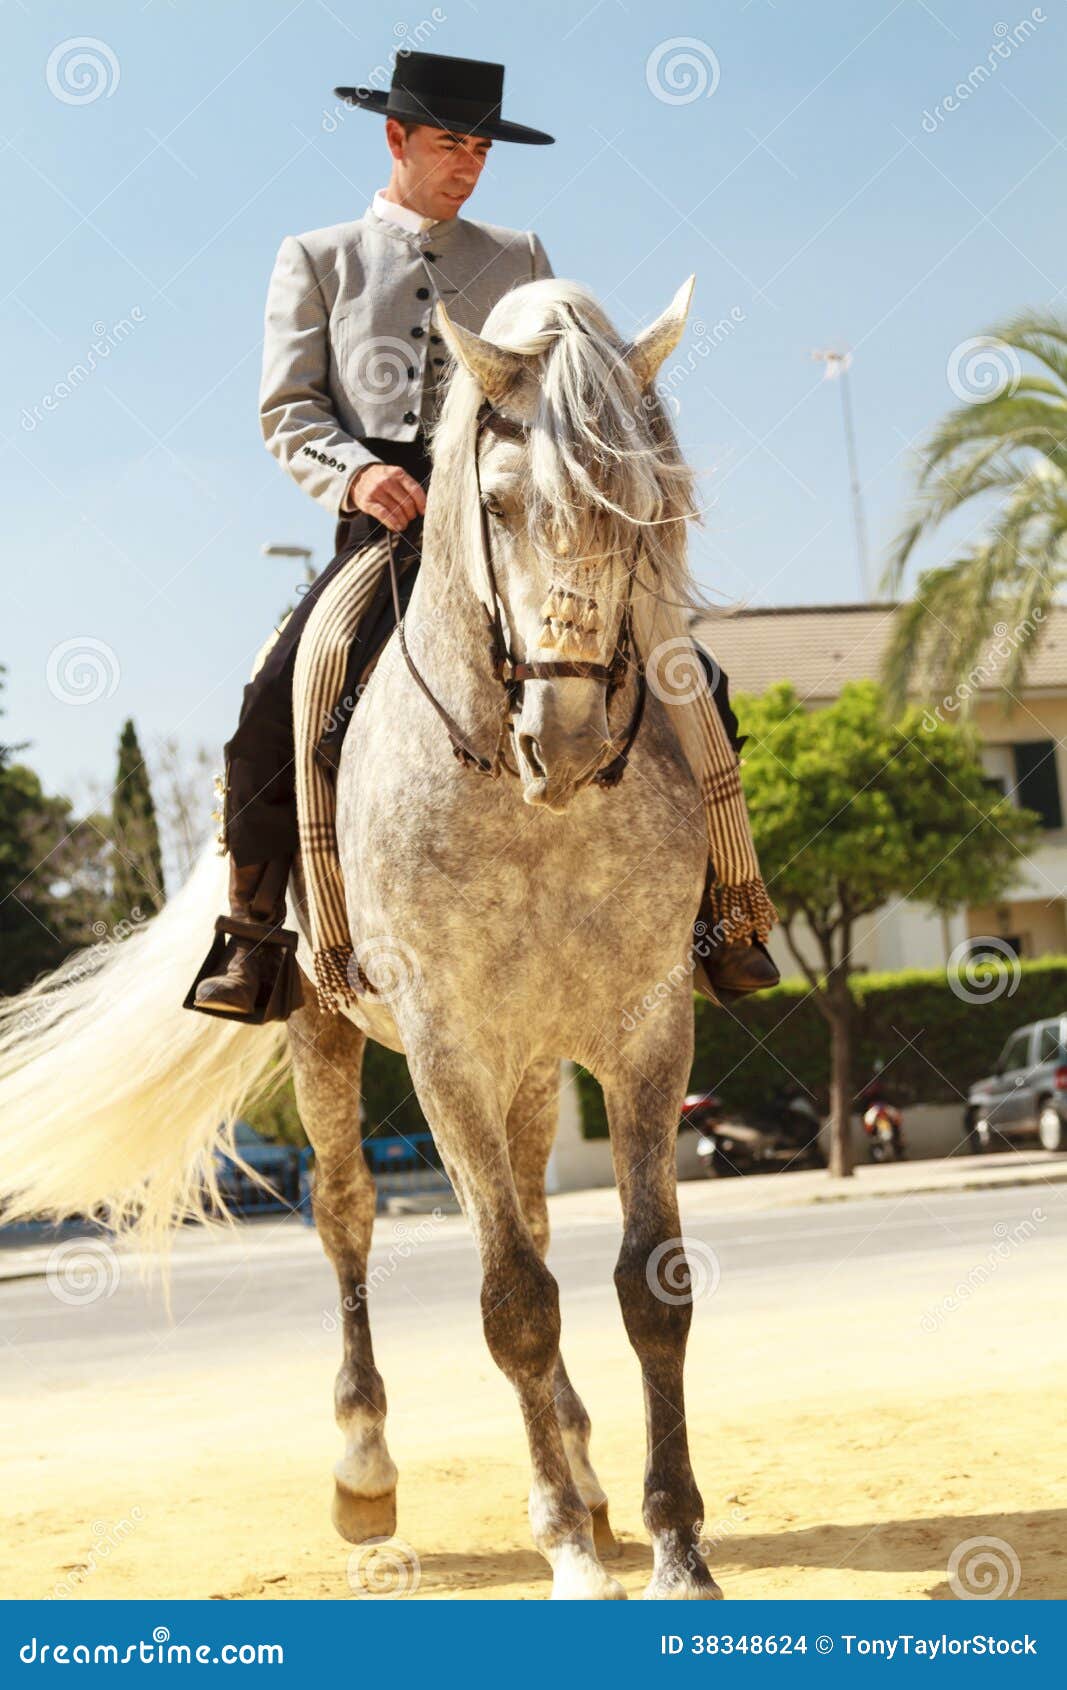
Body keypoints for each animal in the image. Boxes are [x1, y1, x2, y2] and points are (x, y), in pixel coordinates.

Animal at [0, 274, 721, 1601]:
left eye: (643, 504)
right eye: (499, 502)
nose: (569, 738)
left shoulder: (646, 1028)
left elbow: (648, 1282)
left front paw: (674, 1549)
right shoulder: (439, 1045)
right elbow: (510, 1299)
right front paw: (566, 1549)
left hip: (526, 1064)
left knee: (529, 1212)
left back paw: (582, 1467)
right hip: (325, 1035)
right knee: (348, 1218)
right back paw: (367, 1468)